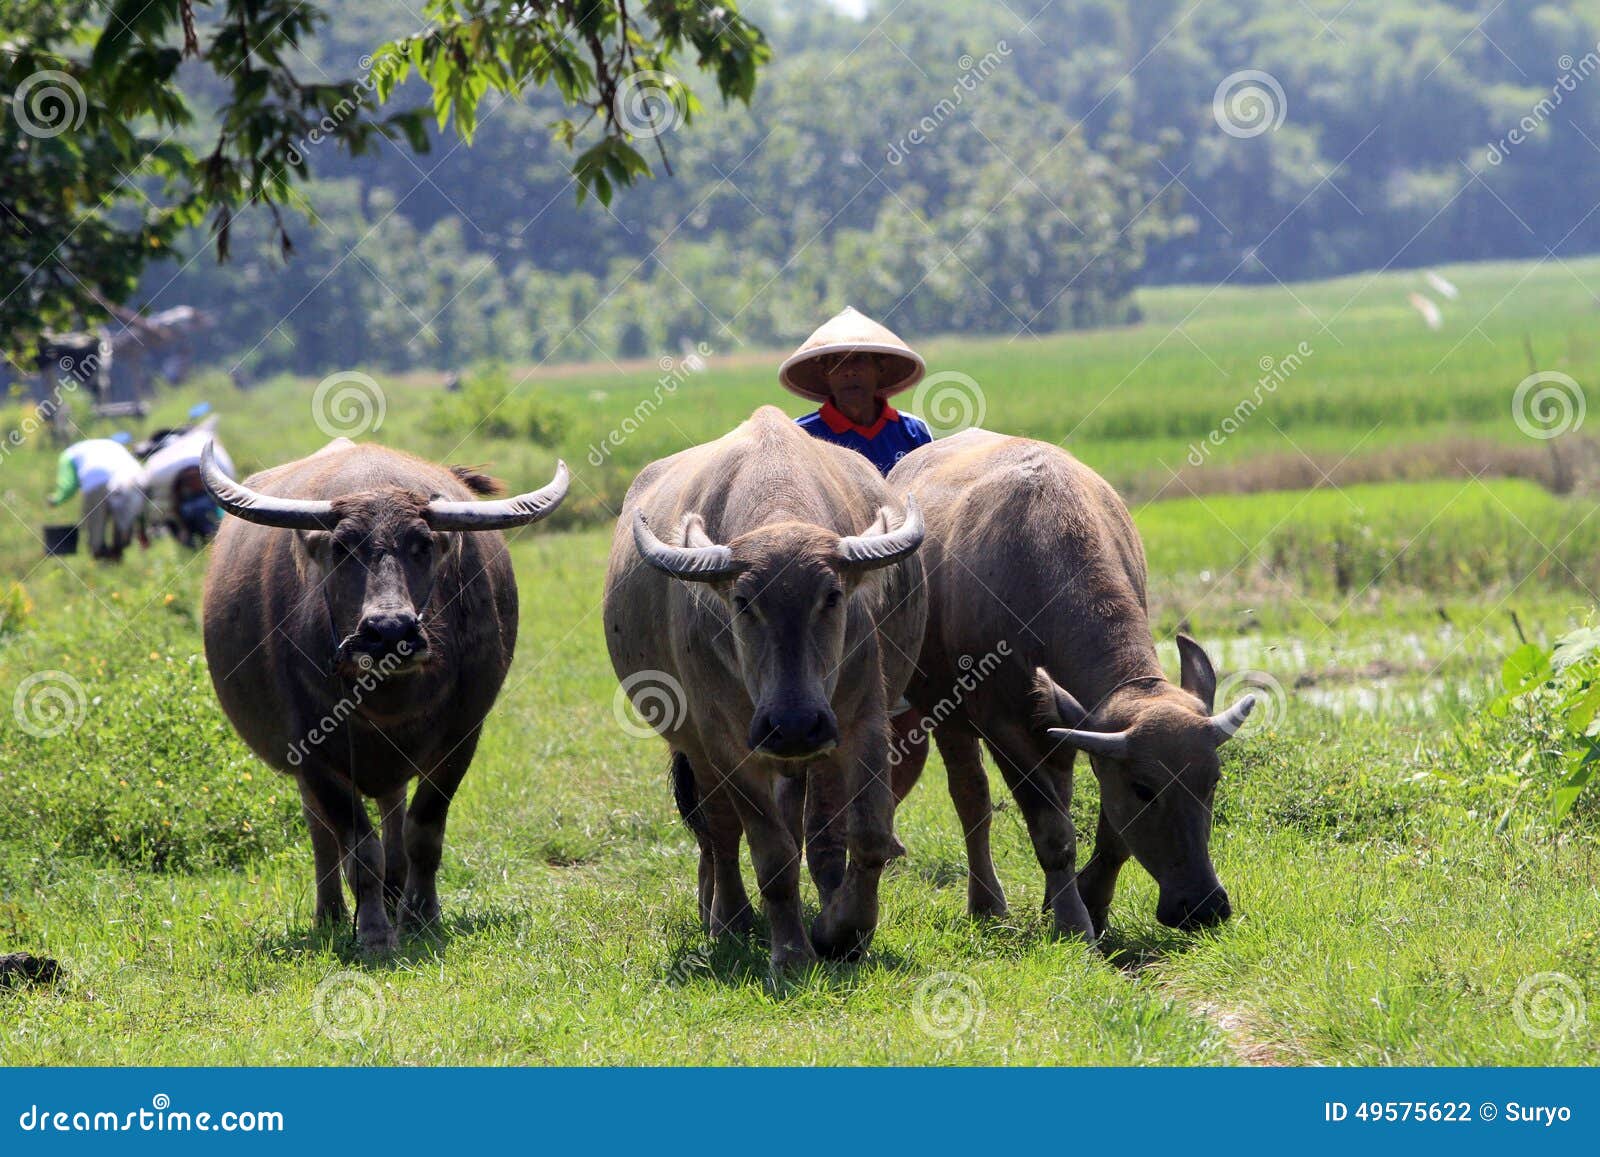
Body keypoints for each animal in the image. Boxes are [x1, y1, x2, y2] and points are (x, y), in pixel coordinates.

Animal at [201, 439, 568, 951]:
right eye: (342, 548)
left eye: (423, 546)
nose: (389, 630)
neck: (387, 697)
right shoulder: (312, 754)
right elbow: (358, 848)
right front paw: (373, 933)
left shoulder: (462, 739)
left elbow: (424, 832)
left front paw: (422, 916)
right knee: (322, 834)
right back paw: (332, 914)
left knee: (393, 806)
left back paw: (396, 895)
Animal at [605, 407, 927, 969]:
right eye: (742, 602)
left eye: (832, 596)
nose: (793, 724)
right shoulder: (727, 741)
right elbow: (770, 854)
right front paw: (791, 953)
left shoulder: (862, 719)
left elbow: (867, 832)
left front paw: (842, 930)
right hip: (701, 749)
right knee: (719, 831)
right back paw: (727, 918)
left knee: (816, 830)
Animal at [887, 430, 1254, 939]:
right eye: (1144, 788)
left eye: (1212, 780)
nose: (1203, 906)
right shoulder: (1004, 729)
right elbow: (1052, 831)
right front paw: (1073, 922)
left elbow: (1112, 833)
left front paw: (1092, 902)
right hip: (944, 712)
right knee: (971, 798)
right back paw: (987, 903)